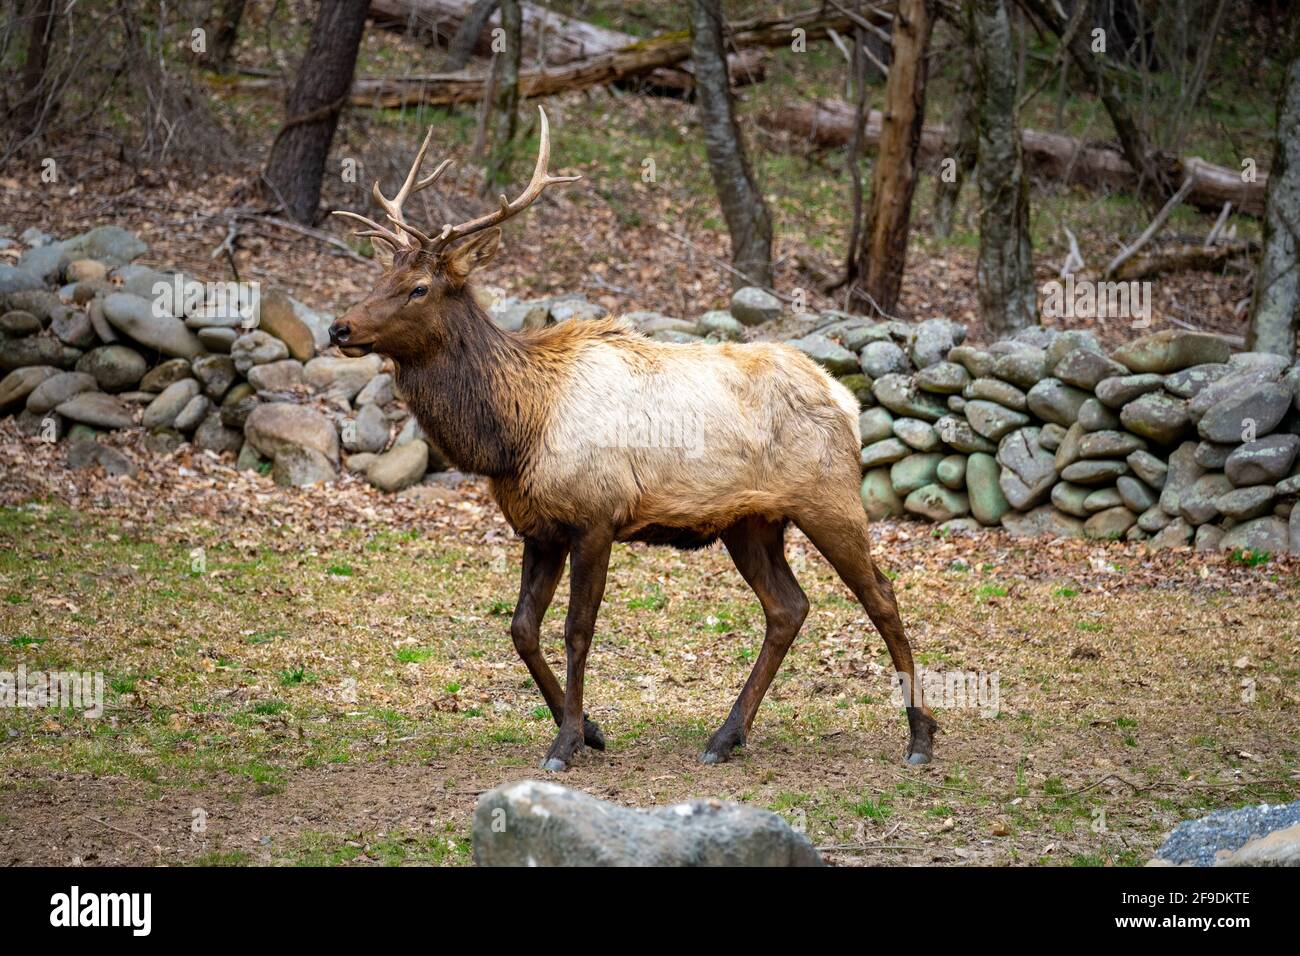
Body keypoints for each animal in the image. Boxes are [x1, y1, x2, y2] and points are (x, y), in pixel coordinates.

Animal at [328, 107, 938, 772]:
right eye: (382, 273)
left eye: (419, 287)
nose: (339, 326)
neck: (516, 430)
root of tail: (848, 401)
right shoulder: (540, 526)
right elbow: (521, 628)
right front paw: (590, 730)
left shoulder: (595, 516)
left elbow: (577, 630)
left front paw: (566, 742)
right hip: (751, 520)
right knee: (788, 607)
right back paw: (726, 736)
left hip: (829, 498)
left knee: (880, 594)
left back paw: (919, 735)